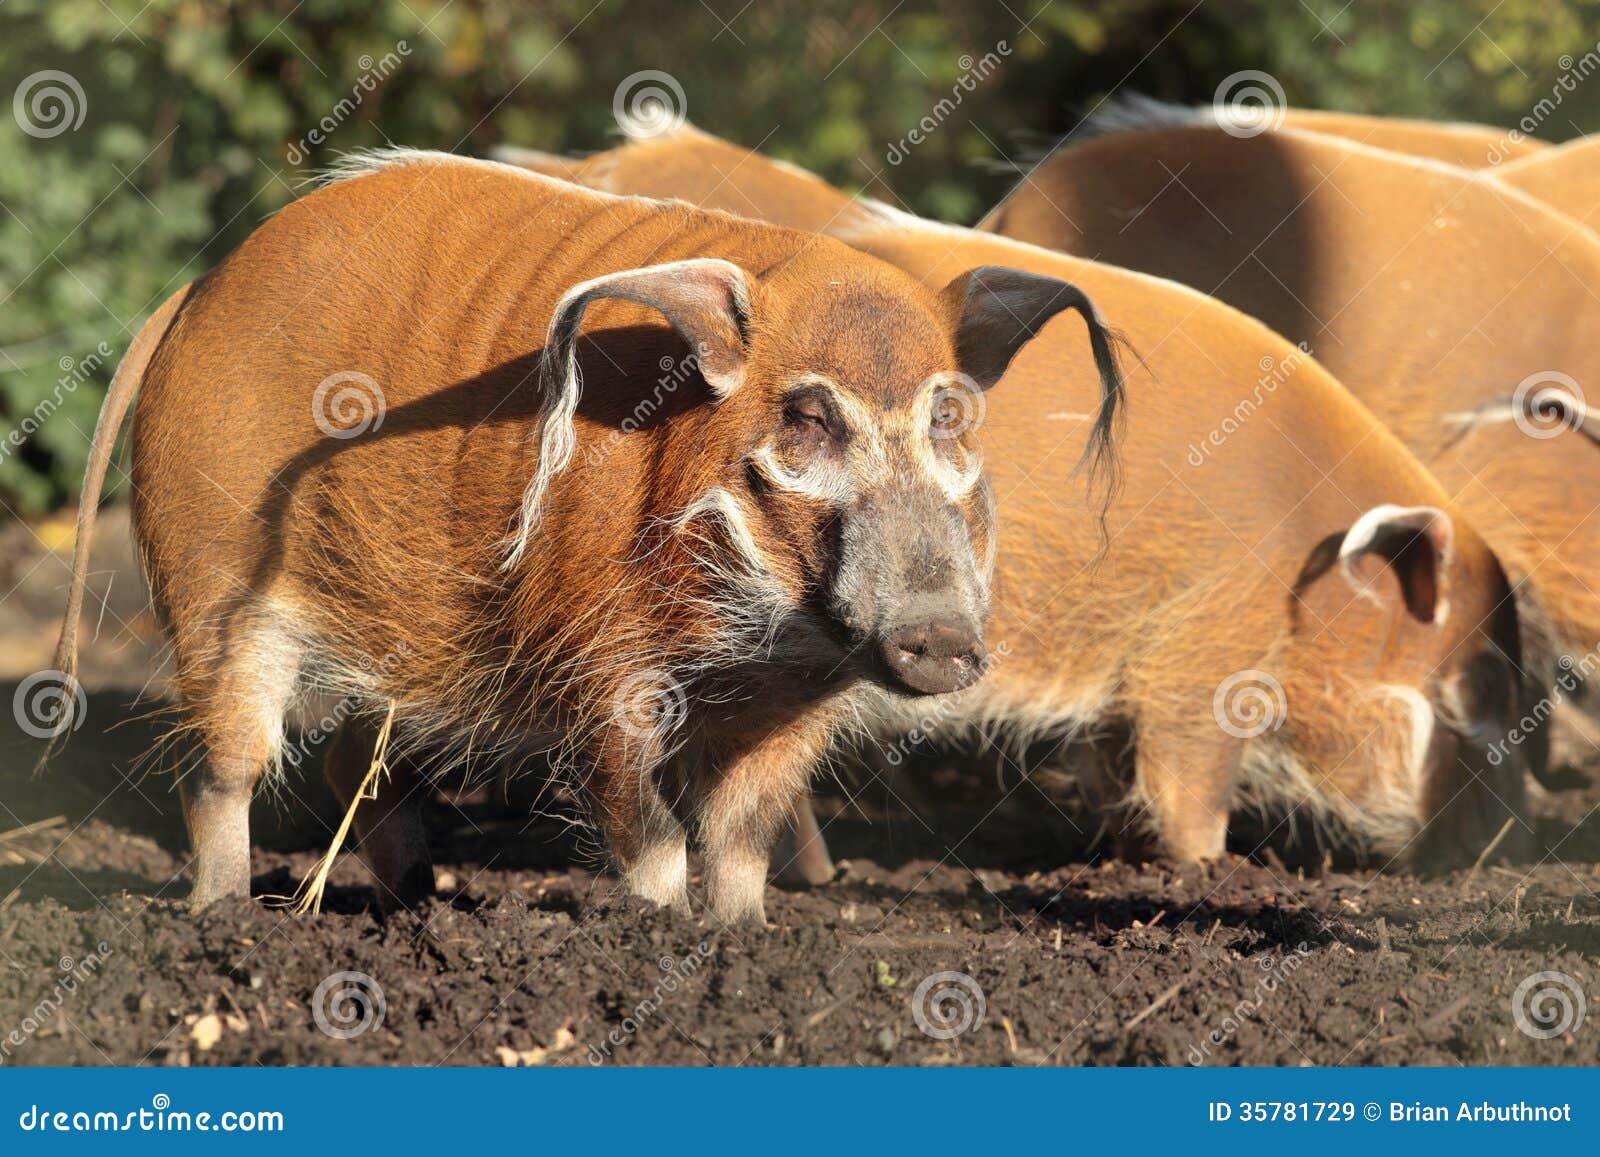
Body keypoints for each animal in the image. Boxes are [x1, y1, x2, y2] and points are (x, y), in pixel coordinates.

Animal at [47, 150, 1123, 923]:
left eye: (948, 416)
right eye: (810, 416)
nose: (941, 635)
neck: (758, 634)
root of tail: (197, 289)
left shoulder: (790, 698)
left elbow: (741, 836)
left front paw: (742, 938)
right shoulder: (598, 666)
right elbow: (651, 831)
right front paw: (655, 929)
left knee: (356, 767)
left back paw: (418, 905)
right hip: (212, 591)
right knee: (221, 769)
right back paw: (226, 913)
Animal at [494, 127, 1529, 869]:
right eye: (1474, 682)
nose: (1503, 850)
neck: (1303, 561)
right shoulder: (1206, 649)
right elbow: (1191, 789)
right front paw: (1207, 875)